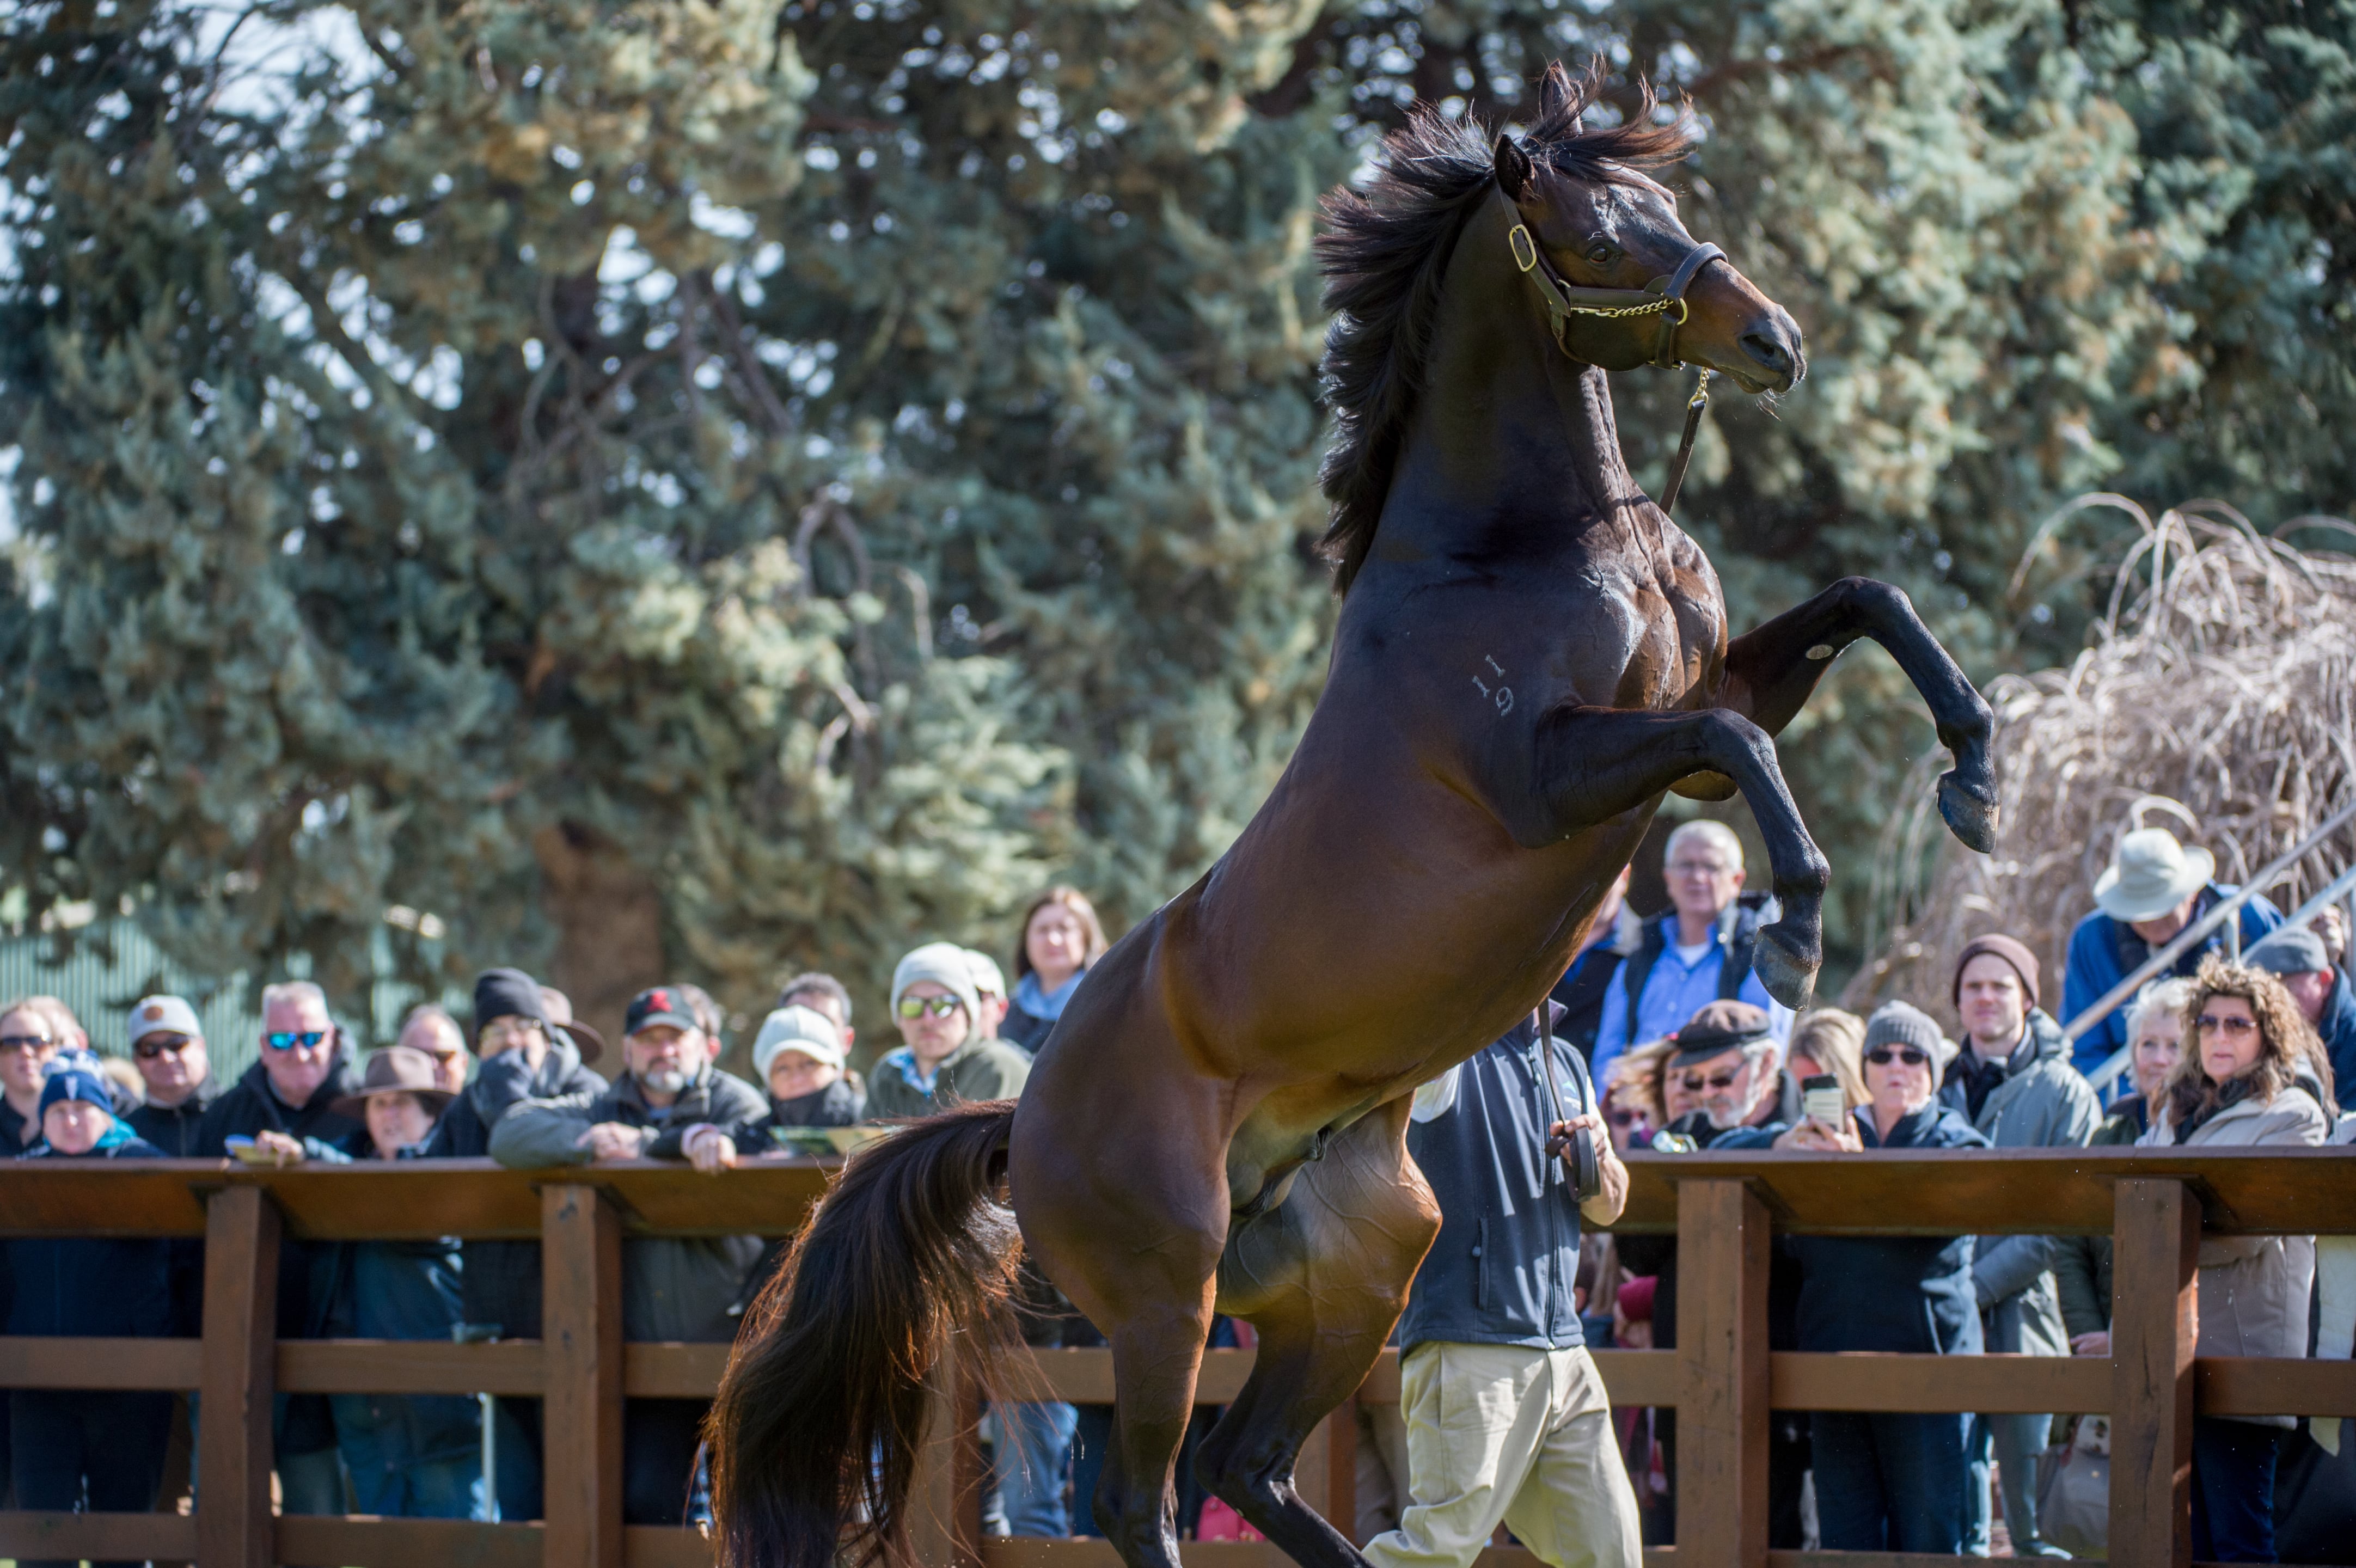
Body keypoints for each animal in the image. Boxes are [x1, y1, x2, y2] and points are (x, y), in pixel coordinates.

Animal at [708, 61, 1997, 1568]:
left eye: (1670, 206)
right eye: (1598, 233)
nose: (1774, 339)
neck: (1518, 544)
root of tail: (1021, 1117)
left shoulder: (1696, 709)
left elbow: (1865, 602)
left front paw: (1975, 774)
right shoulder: (1554, 776)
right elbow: (1732, 738)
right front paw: (1794, 924)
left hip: (1357, 1270)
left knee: (1251, 1468)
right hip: (1167, 1303)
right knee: (1142, 1497)